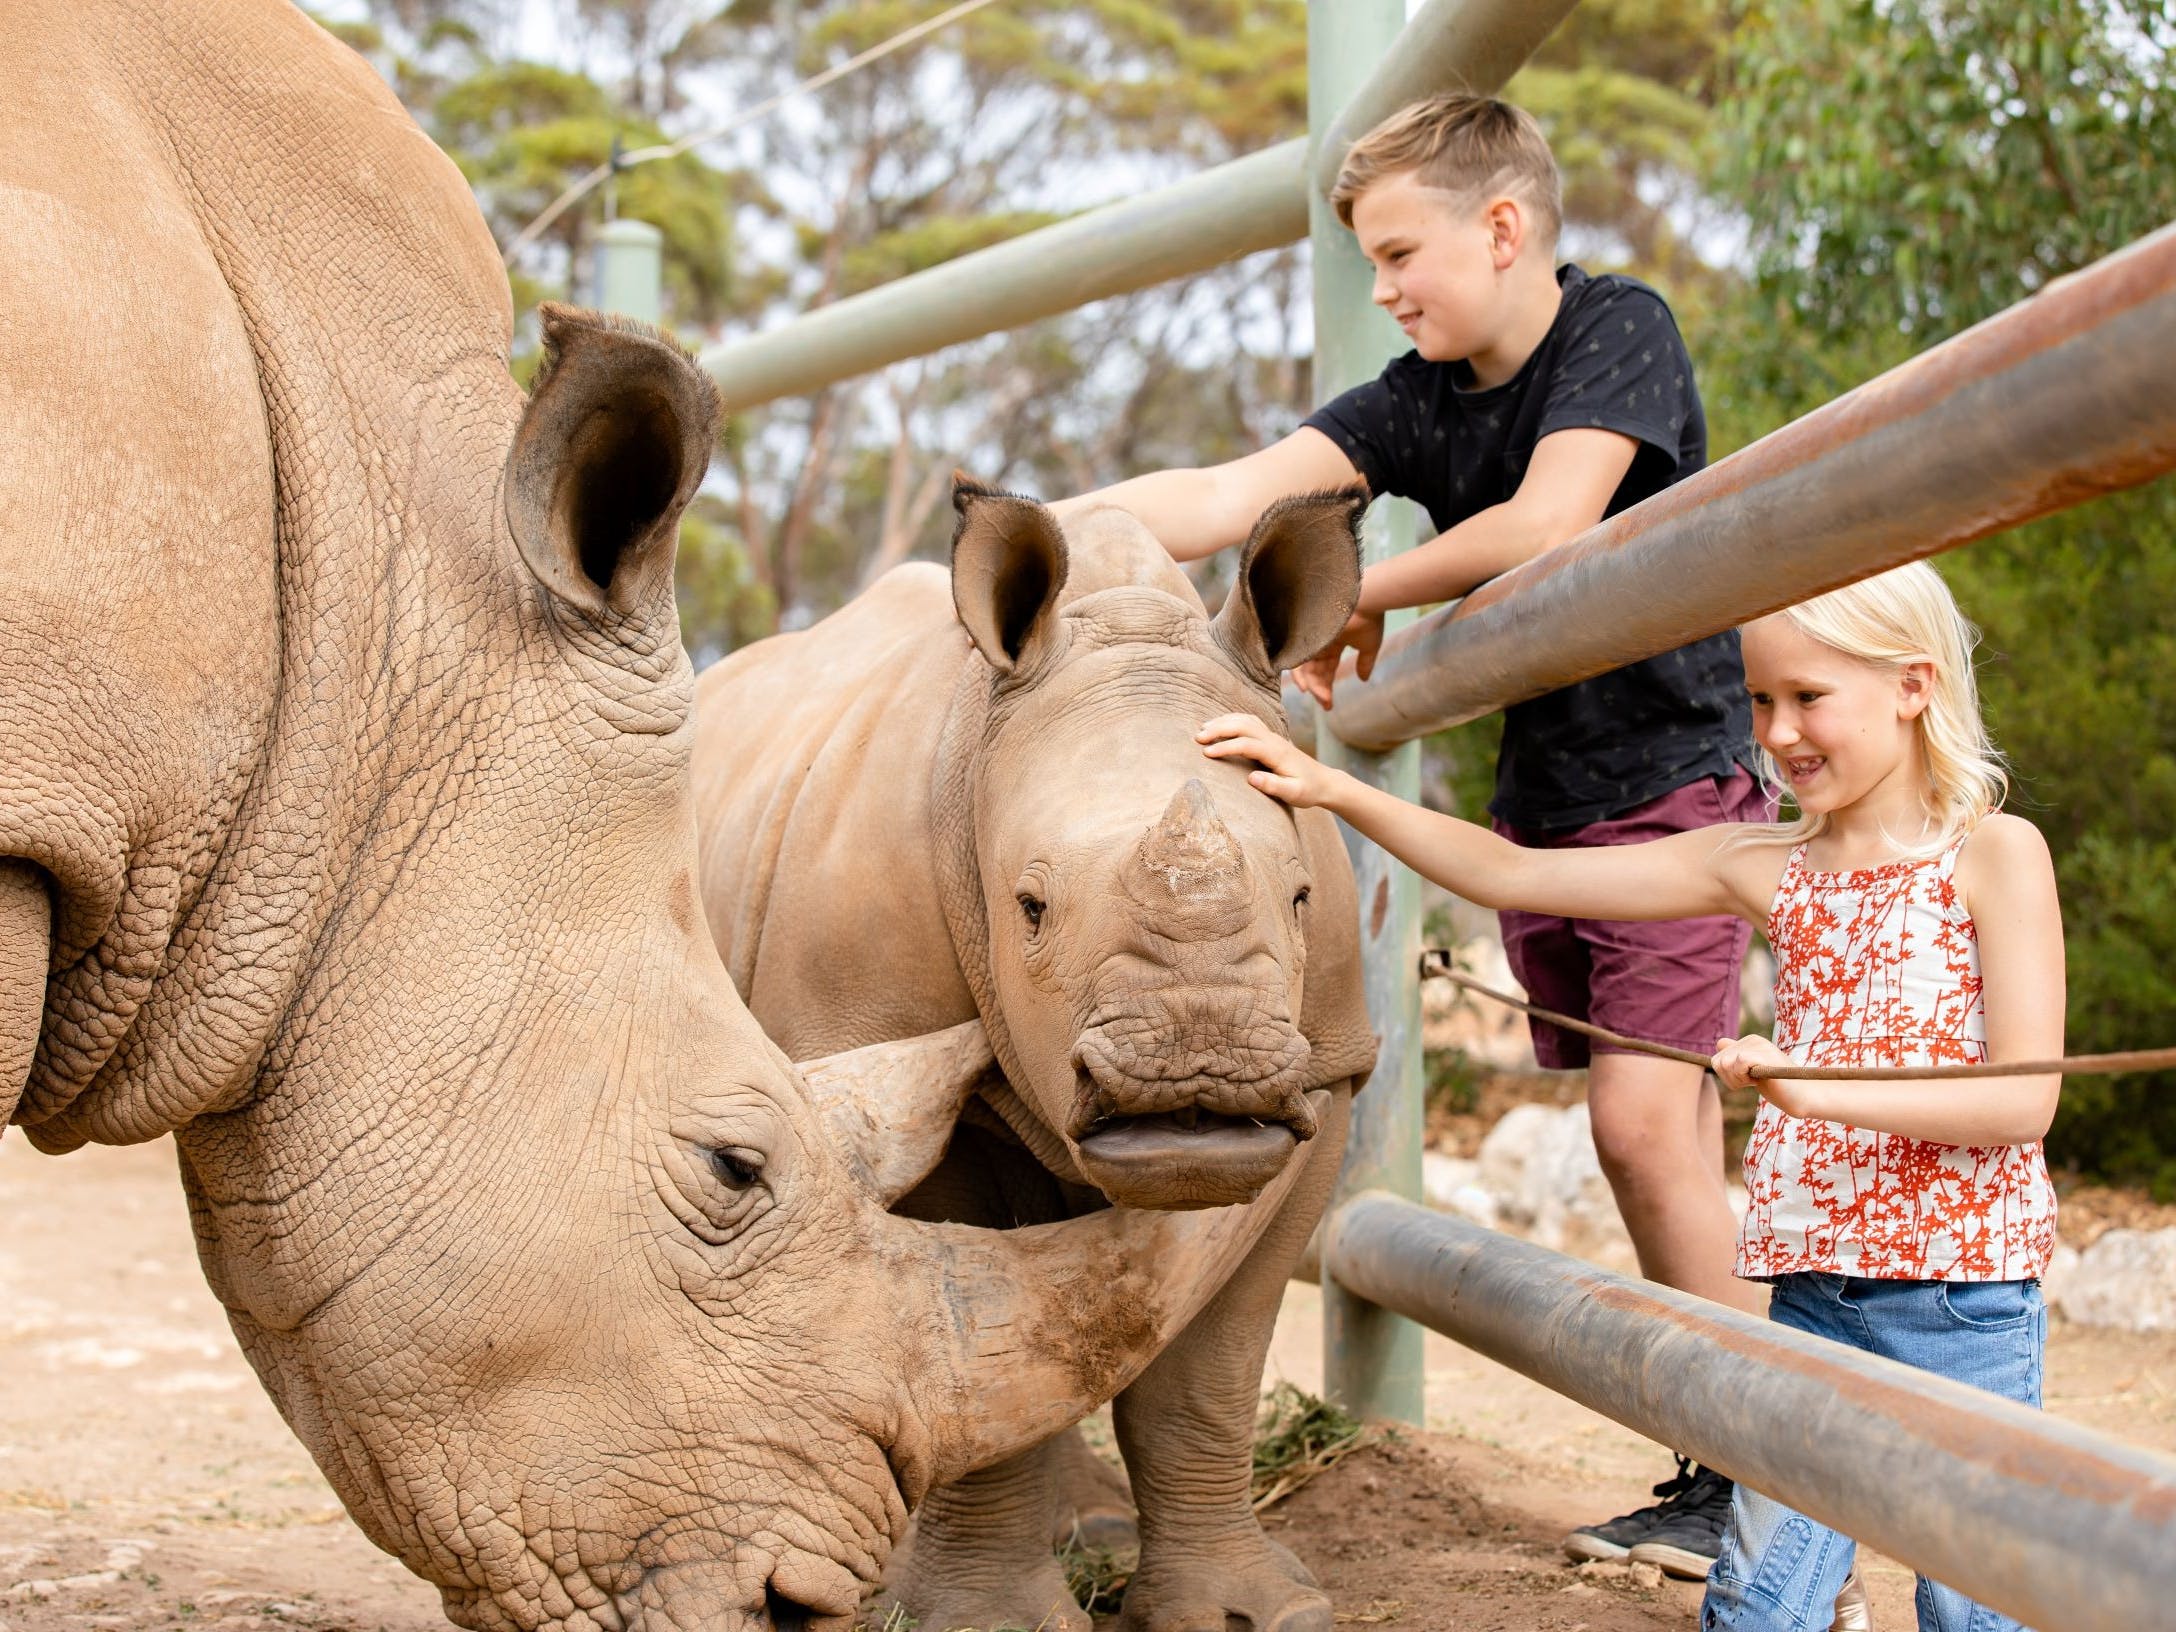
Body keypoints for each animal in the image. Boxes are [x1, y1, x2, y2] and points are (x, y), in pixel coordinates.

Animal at [691, 483, 1375, 1632]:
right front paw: (982, 1620)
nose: (1197, 1072)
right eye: (1030, 908)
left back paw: (1084, 1530)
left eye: (1299, 898)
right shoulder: (893, 1071)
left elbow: (1208, 1374)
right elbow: (971, 1341)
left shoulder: (1325, 1069)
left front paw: (1251, 1614)